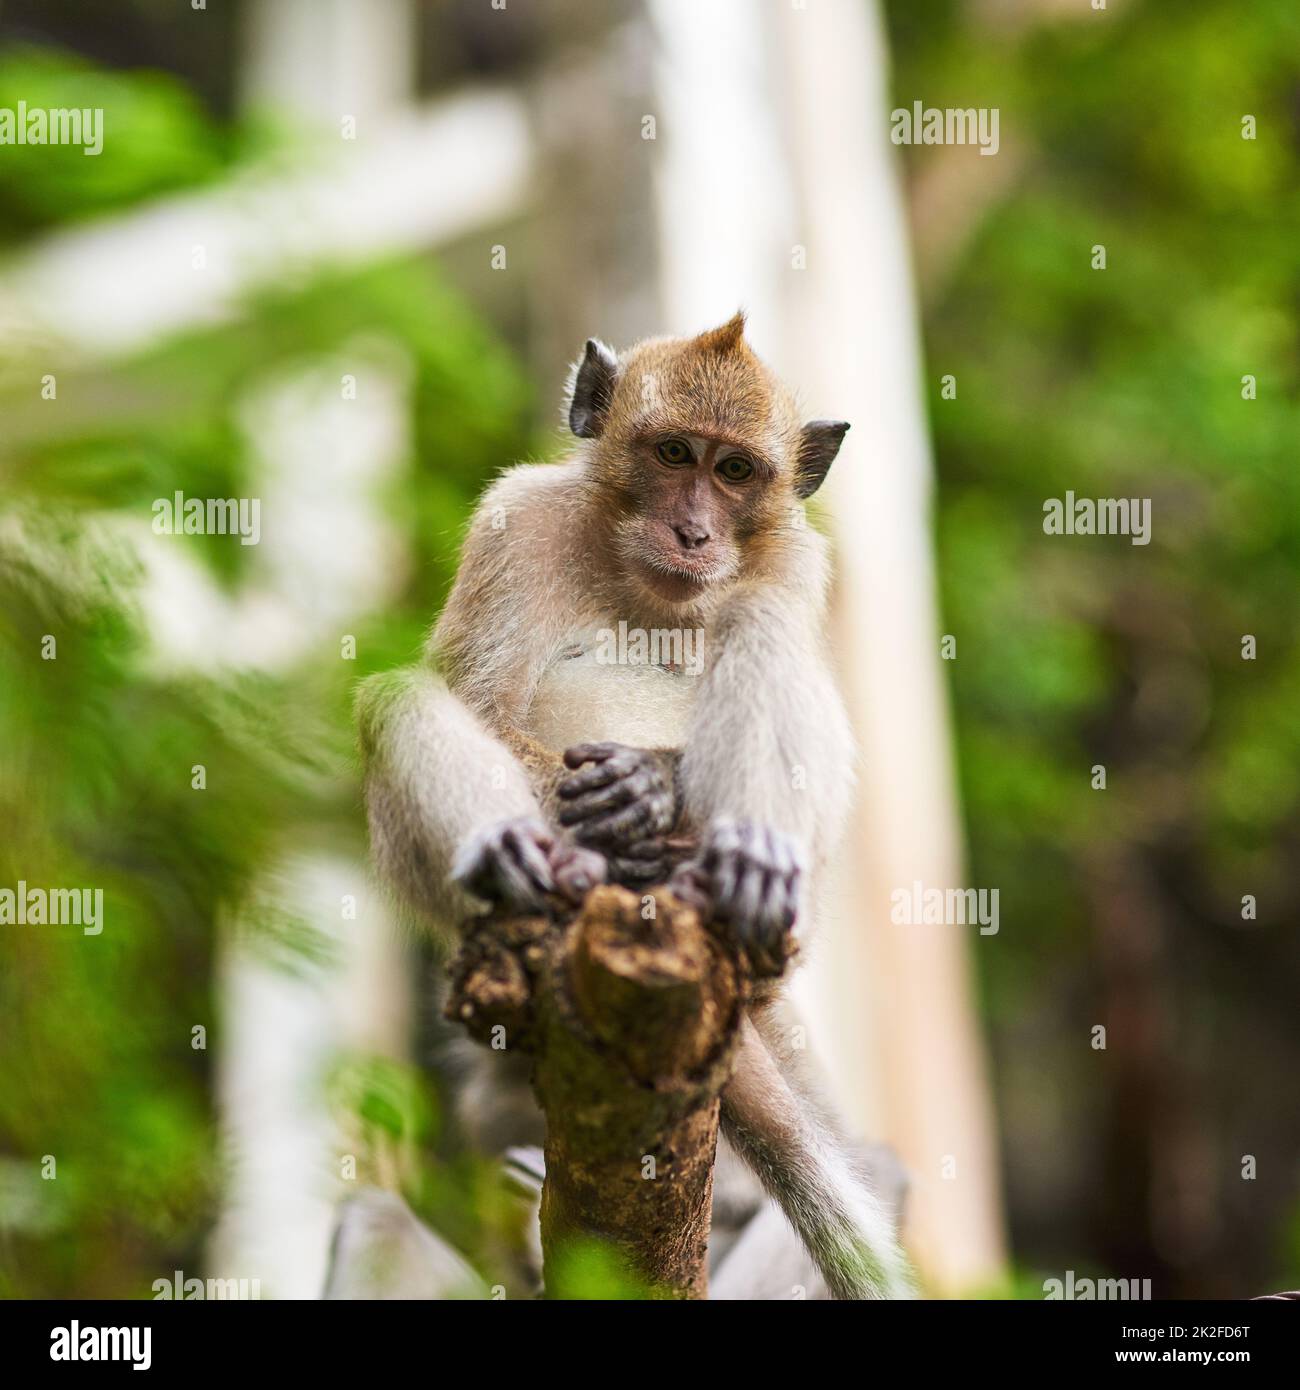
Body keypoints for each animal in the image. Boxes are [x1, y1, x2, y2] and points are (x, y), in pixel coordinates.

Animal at [357, 312, 914, 1300]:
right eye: (673, 453)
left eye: (735, 472)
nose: (692, 530)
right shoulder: (515, 523)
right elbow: (480, 704)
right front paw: (607, 809)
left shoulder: (796, 559)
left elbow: (778, 637)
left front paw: (655, 791)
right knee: (393, 701)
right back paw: (529, 861)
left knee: (764, 639)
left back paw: (740, 873)